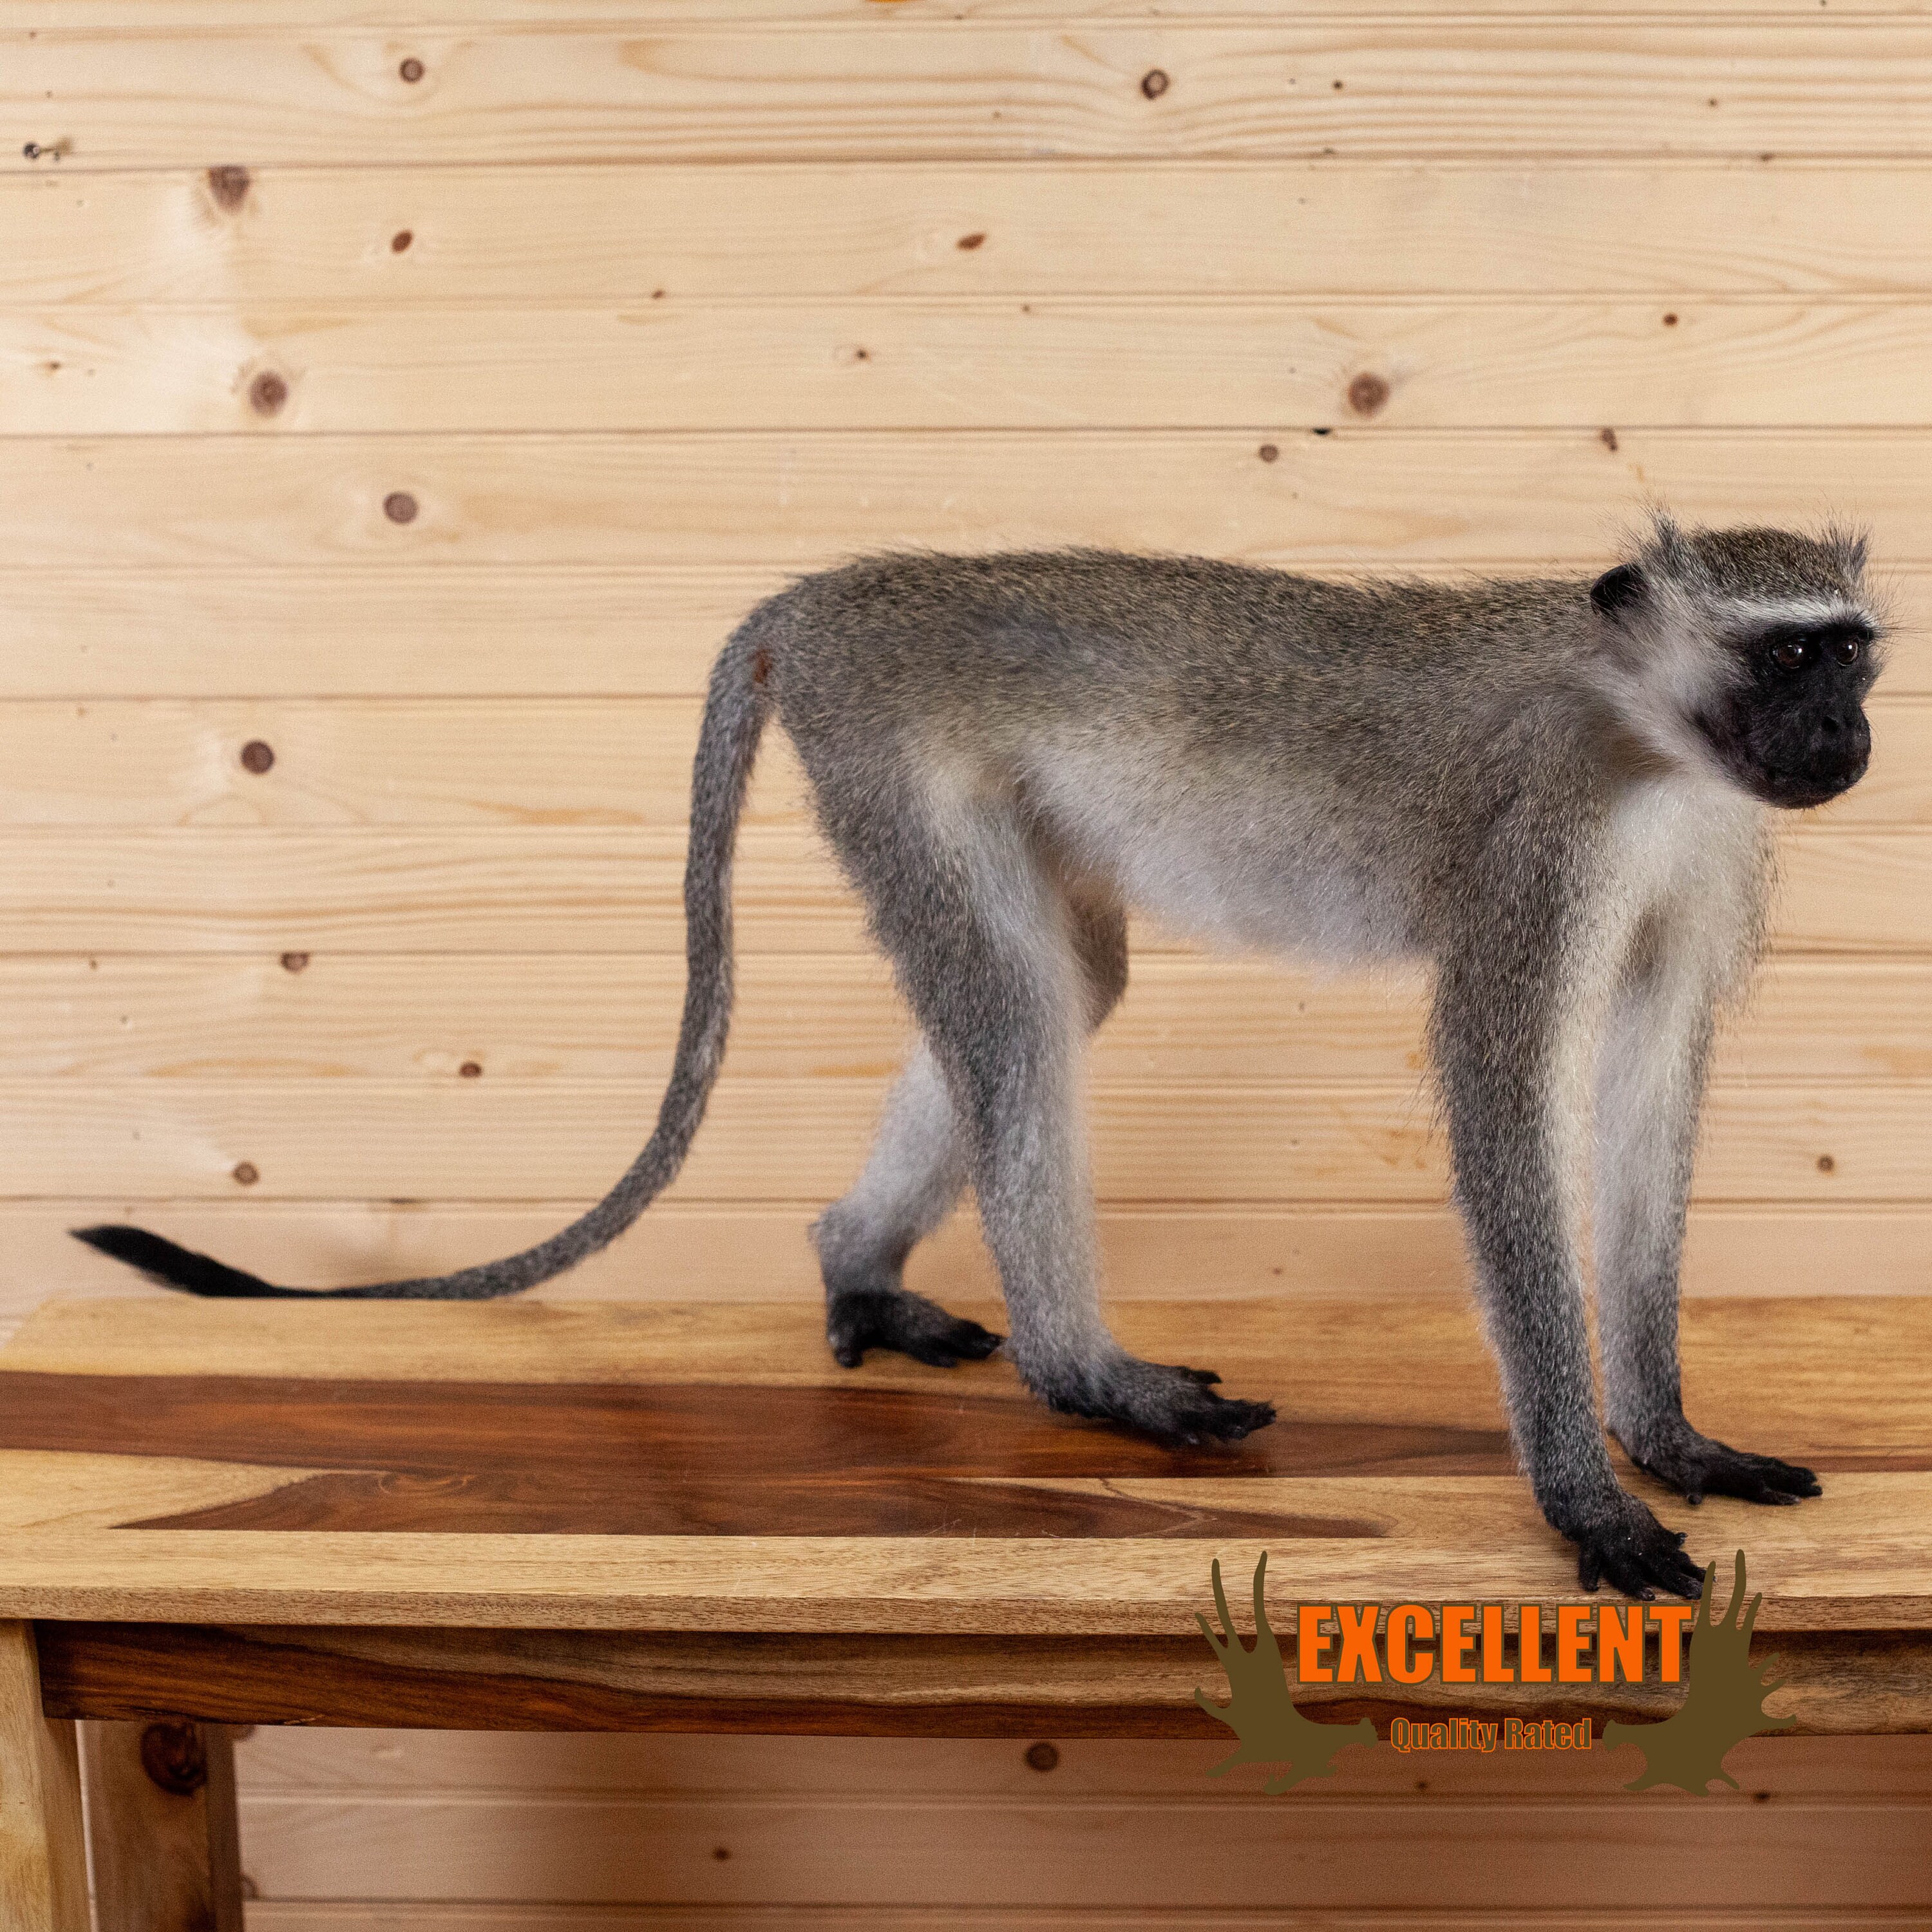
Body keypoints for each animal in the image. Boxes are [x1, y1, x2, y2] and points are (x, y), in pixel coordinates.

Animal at [75, 513, 1881, 1600]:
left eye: (1852, 648)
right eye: (1786, 654)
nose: (1849, 734)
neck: (1648, 735)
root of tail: (832, 596)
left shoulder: (1704, 852)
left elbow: (1650, 1083)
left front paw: (1670, 1436)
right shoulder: (1545, 843)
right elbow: (1502, 1090)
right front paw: (1586, 1503)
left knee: (1052, 987)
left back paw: (855, 1268)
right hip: (882, 746)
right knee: (1018, 1005)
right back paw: (1084, 1378)